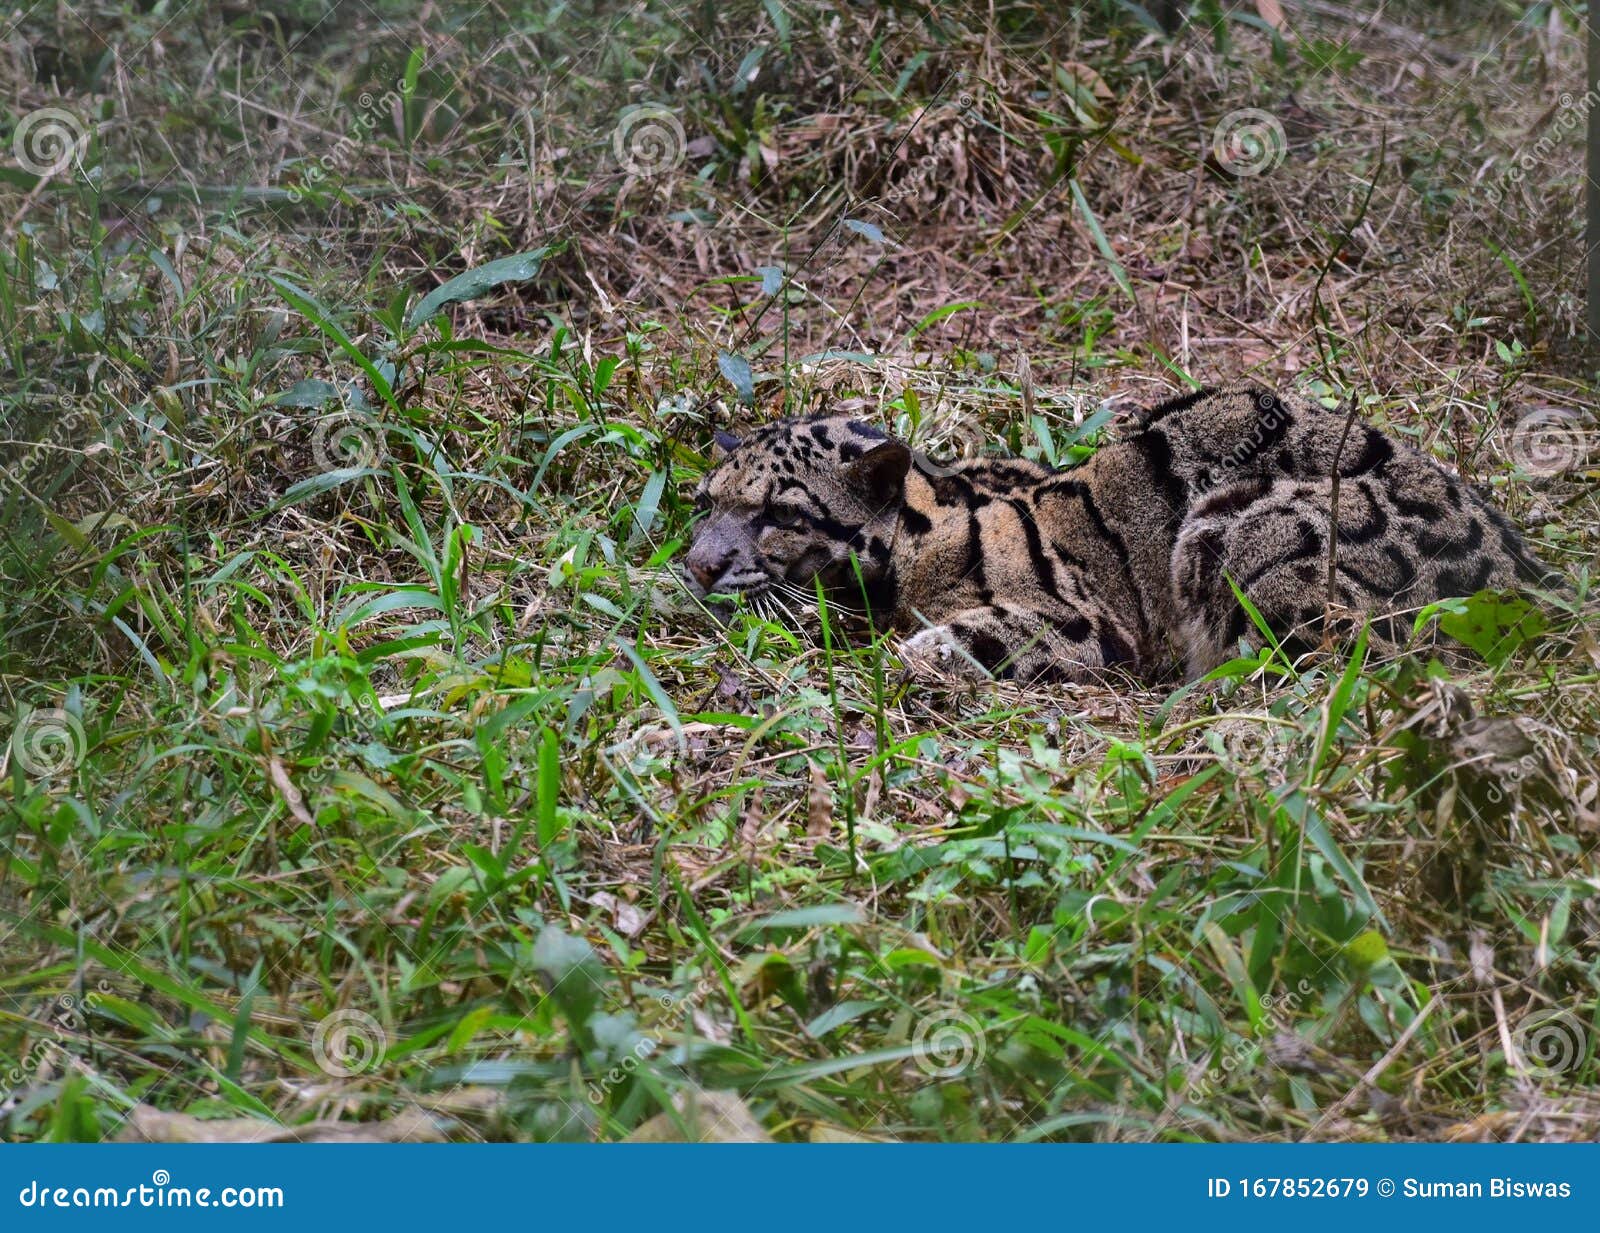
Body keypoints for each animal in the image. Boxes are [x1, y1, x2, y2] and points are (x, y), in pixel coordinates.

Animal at [681, 382, 1549, 682]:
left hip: (1255, 525)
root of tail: (1535, 590)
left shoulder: (1086, 621)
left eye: (781, 515)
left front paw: (910, 654)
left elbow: (960, 636)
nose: (696, 566)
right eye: (703, 502)